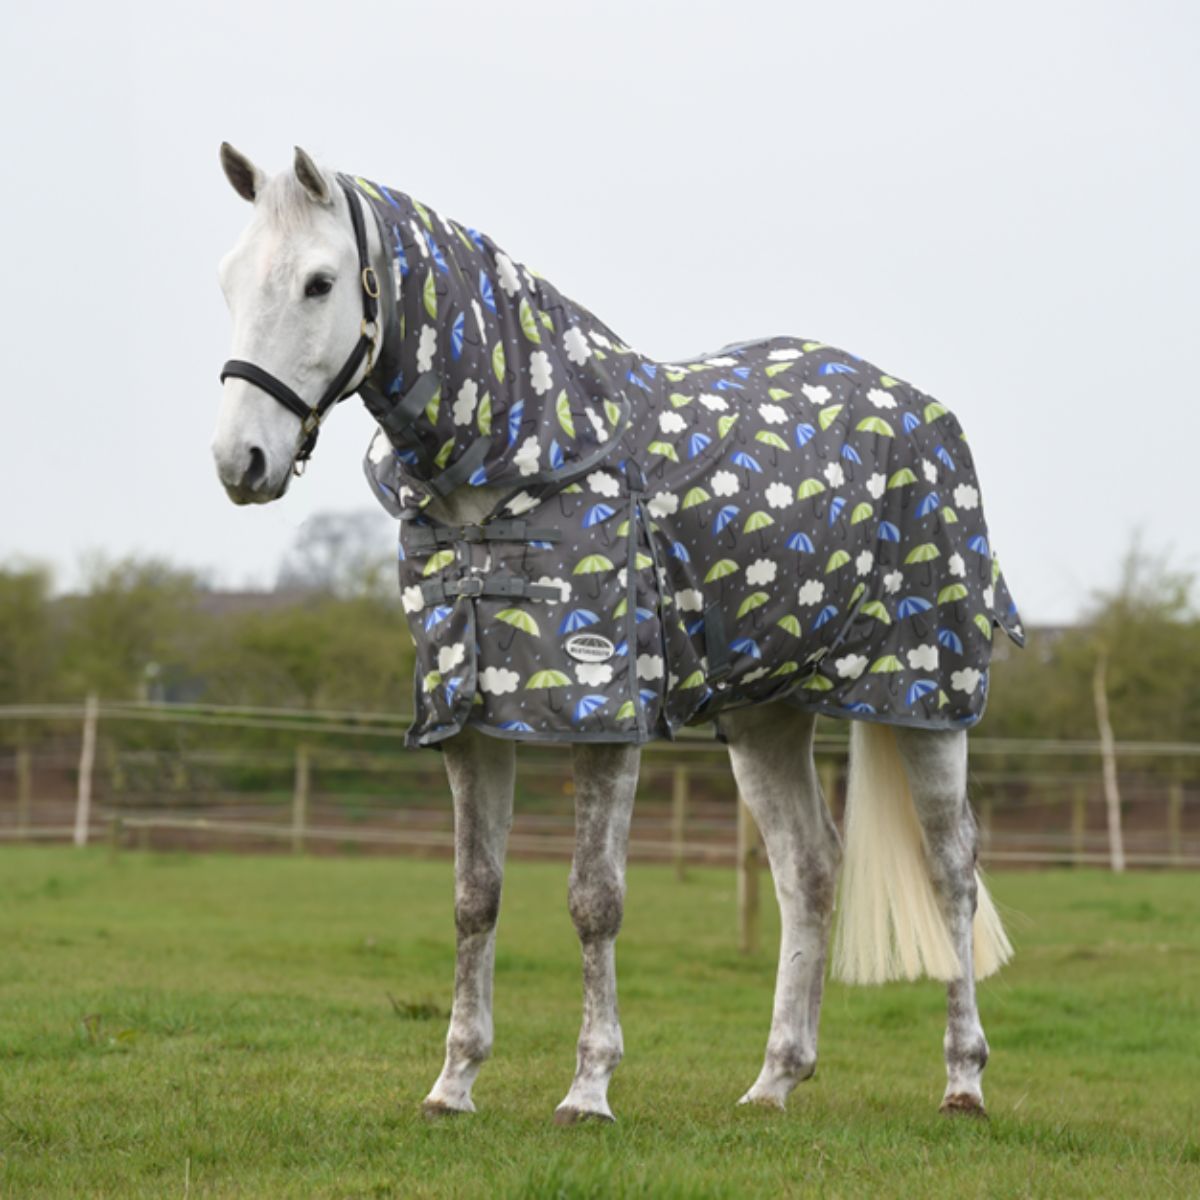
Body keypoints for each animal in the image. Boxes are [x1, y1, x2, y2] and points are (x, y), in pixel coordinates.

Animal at [212, 144, 1021, 1123]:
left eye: (320, 283)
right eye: (228, 281)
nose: (239, 462)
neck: (519, 468)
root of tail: (921, 411)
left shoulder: (602, 711)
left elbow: (593, 900)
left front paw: (589, 1087)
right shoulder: (469, 720)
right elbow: (474, 898)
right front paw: (454, 1082)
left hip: (925, 698)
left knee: (952, 869)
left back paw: (965, 1081)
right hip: (766, 715)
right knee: (810, 870)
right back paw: (774, 1081)